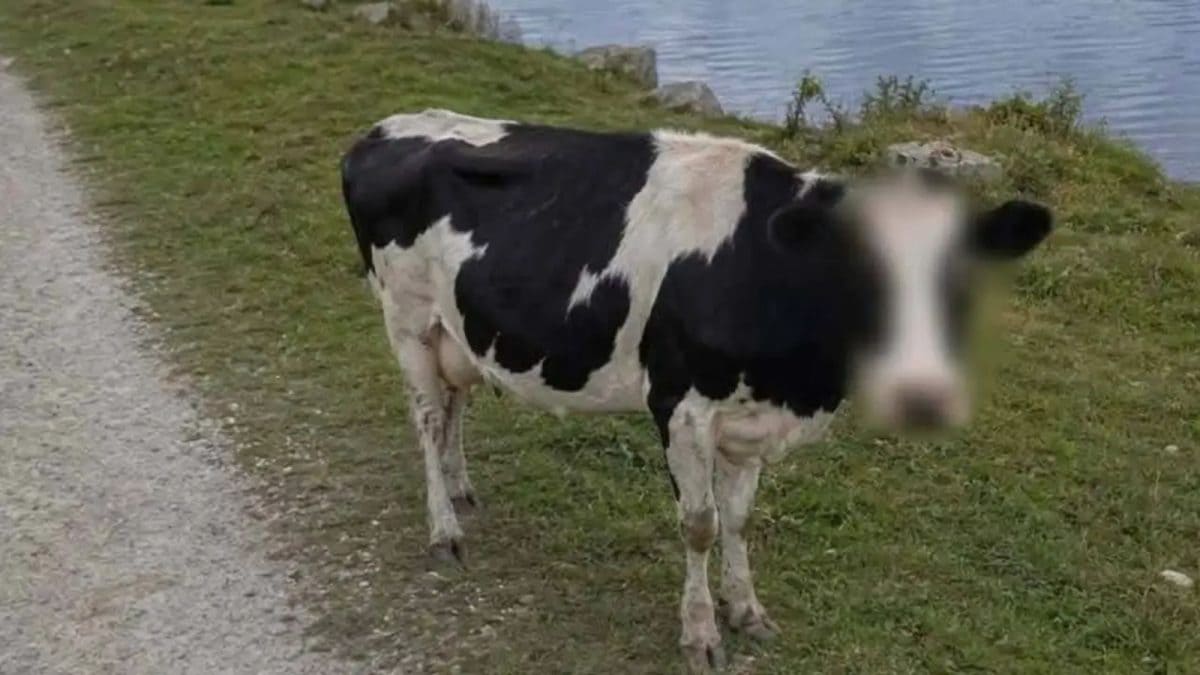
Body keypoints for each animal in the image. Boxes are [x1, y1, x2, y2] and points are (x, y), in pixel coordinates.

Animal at [340, 109, 1052, 672]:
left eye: (960, 279)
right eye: (859, 270)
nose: (922, 397)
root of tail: (387, 127)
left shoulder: (751, 419)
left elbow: (738, 518)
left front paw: (748, 610)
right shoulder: (681, 407)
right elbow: (701, 524)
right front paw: (702, 633)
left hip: (456, 331)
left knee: (455, 403)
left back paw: (461, 487)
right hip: (407, 320)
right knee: (428, 419)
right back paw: (444, 530)